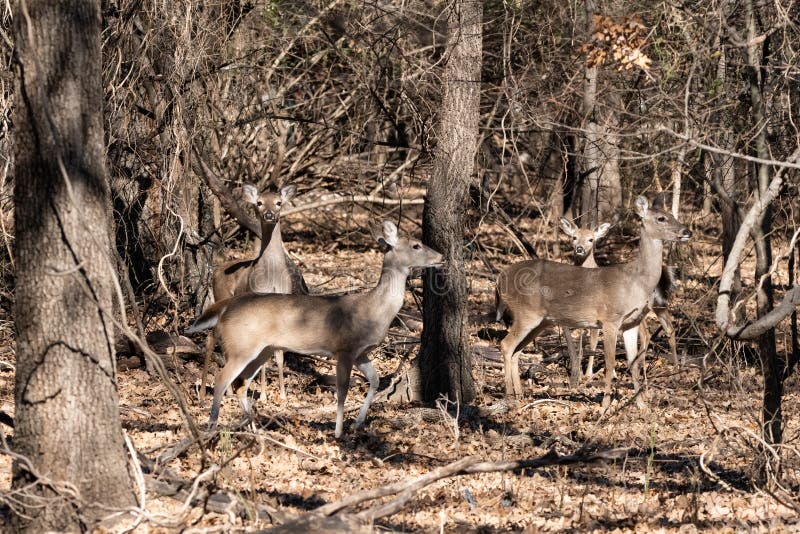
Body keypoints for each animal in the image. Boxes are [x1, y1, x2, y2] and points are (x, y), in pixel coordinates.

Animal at [187, 220, 444, 438]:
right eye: (416, 245)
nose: (441, 257)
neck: (374, 309)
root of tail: (227, 306)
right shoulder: (344, 348)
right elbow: (342, 390)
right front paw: (338, 432)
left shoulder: (361, 352)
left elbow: (375, 380)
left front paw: (359, 423)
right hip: (242, 345)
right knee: (222, 379)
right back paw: (212, 425)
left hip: (262, 349)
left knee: (241, 383)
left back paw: (254, 428)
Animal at [201, 183, 307, 402]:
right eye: (259, 202)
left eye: (279, 202)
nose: (269, 214)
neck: (272, 275)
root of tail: (215, 270)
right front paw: (264, 396)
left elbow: (279, 353)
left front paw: (283, 395)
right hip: (222, 298)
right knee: (211, 338)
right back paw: (203, 393)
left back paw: (229, 390)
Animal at [496, 196, 691, 409]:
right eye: (661, 218)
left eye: (672, 215)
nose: (686, 231)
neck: (637, 281)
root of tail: (500, 279)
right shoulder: (610, 319)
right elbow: (610, 362)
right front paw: (605, 405)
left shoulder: (631, 323)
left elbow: (633, 363)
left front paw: (642, 406)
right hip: (526, 313)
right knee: (506, 345)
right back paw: (509, 396)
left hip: (541, 321)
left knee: (516, 351)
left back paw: (520, 396)